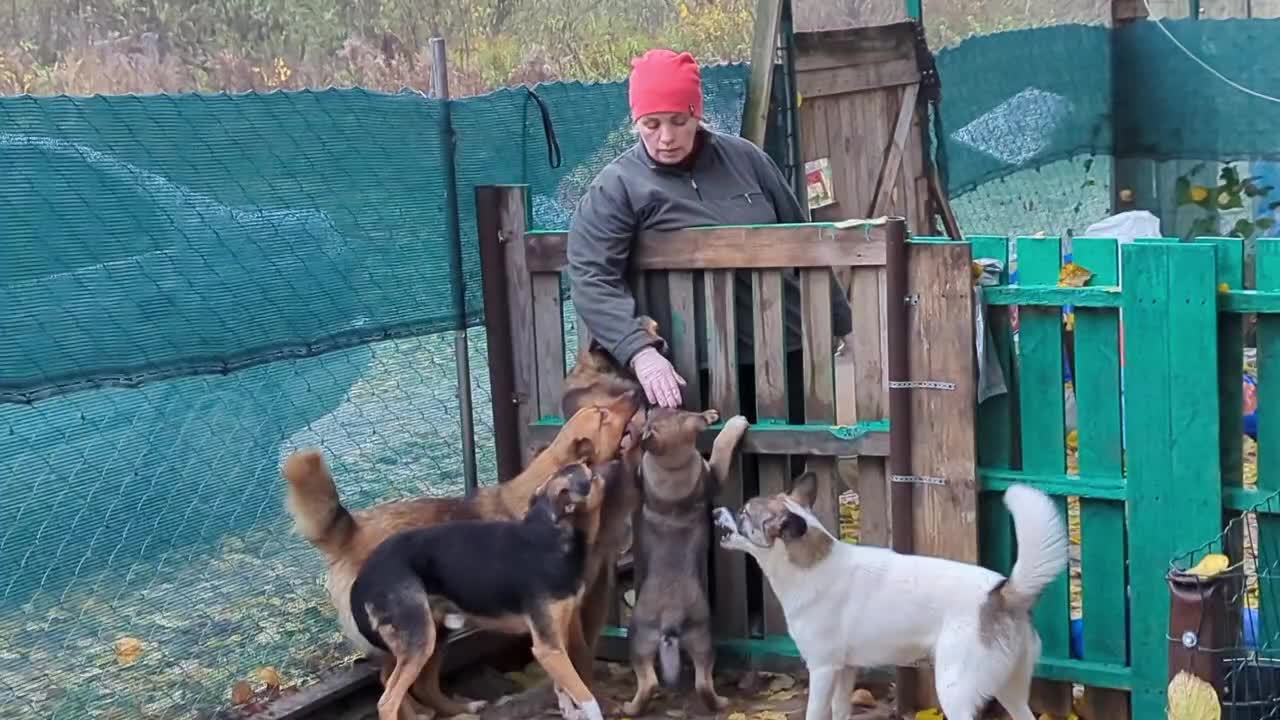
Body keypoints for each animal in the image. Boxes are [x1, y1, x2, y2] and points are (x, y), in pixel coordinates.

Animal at [350, 458, 609, 717]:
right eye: (590, 475)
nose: (591, 462)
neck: (549, 534)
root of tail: (363, 577)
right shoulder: (548, 648)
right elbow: (585, 695)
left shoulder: (555, 639)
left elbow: (563, 686)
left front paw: (569, 712)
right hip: (419, 640)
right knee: (388, 700)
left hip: (433, 636)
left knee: (422, 685)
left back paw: (464, 707)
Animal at [622, 404, 747, 712]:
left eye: (667, 410)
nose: (652, 405)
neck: (670, 466)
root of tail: (669, 618)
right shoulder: (714, 473)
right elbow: (721, 446)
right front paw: (734, 424)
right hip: (698, 637)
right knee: (700, 682)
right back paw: (722, 702)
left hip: (645, 640)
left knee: (653, 682)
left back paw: (632, 708)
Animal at [711, 471, 1070, 717]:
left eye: (744, 513)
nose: (714, 512)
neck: (810, 564)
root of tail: (1002, 593)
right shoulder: (845, 671)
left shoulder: (823, 670)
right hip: (1010, 691)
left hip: (955, 689)